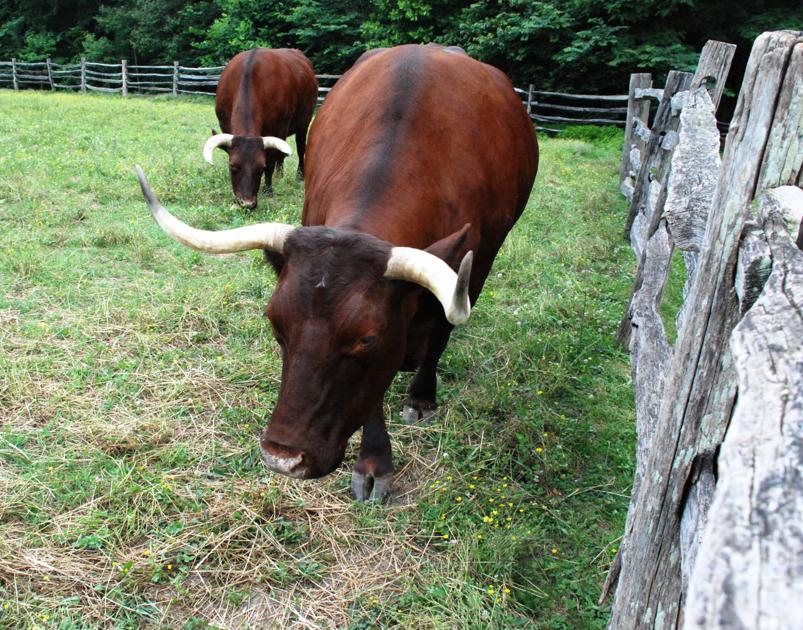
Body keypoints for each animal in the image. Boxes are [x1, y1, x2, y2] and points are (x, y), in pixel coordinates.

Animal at [204, 48, 318, 209]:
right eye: (232, 166)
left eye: (261, 168)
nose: (247, 203)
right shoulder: (225, 125)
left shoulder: (279, 128)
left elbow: (272, 161)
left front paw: (268, 189)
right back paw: (279, 174)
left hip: (304, 121)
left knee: (300, 148)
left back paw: (299, 175)